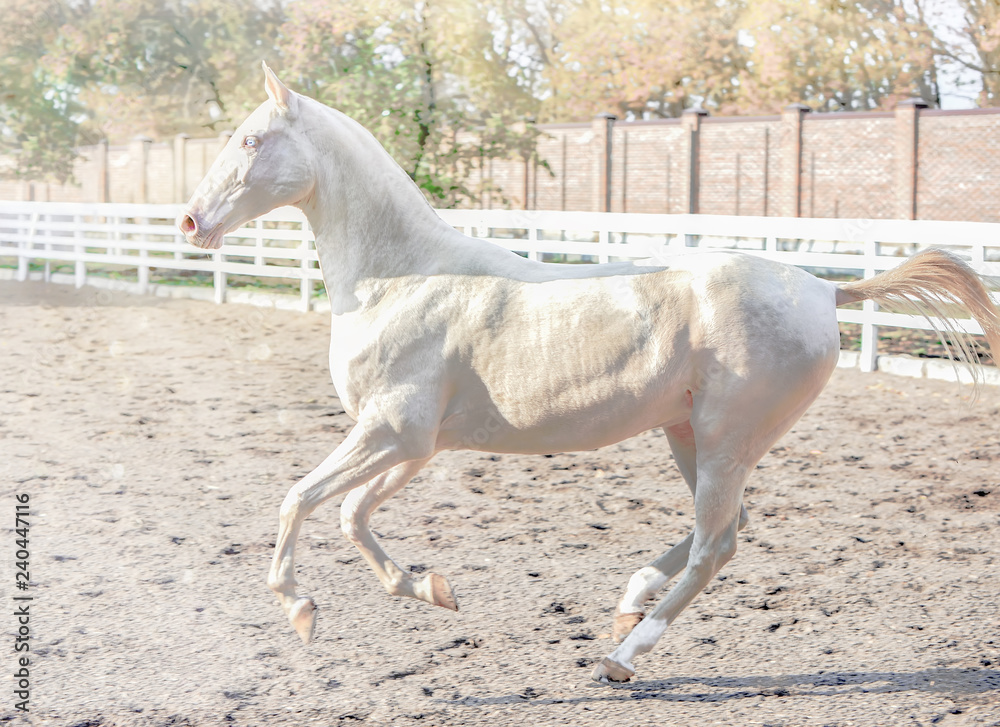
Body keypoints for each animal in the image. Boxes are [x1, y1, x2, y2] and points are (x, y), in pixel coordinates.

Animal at [178, 63, 1000, 684]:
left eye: (252, 138)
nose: (190, 221)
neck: (401, 278)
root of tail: (826, 290)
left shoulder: (390, 432)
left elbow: (298, 499)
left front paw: (300, 609)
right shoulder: (414, 445)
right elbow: (352, 513)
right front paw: (430, 588)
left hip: (725, 436)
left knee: (717, 545)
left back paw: (623, 654)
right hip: (687, 432)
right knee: (725, 527)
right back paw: (631, 598)